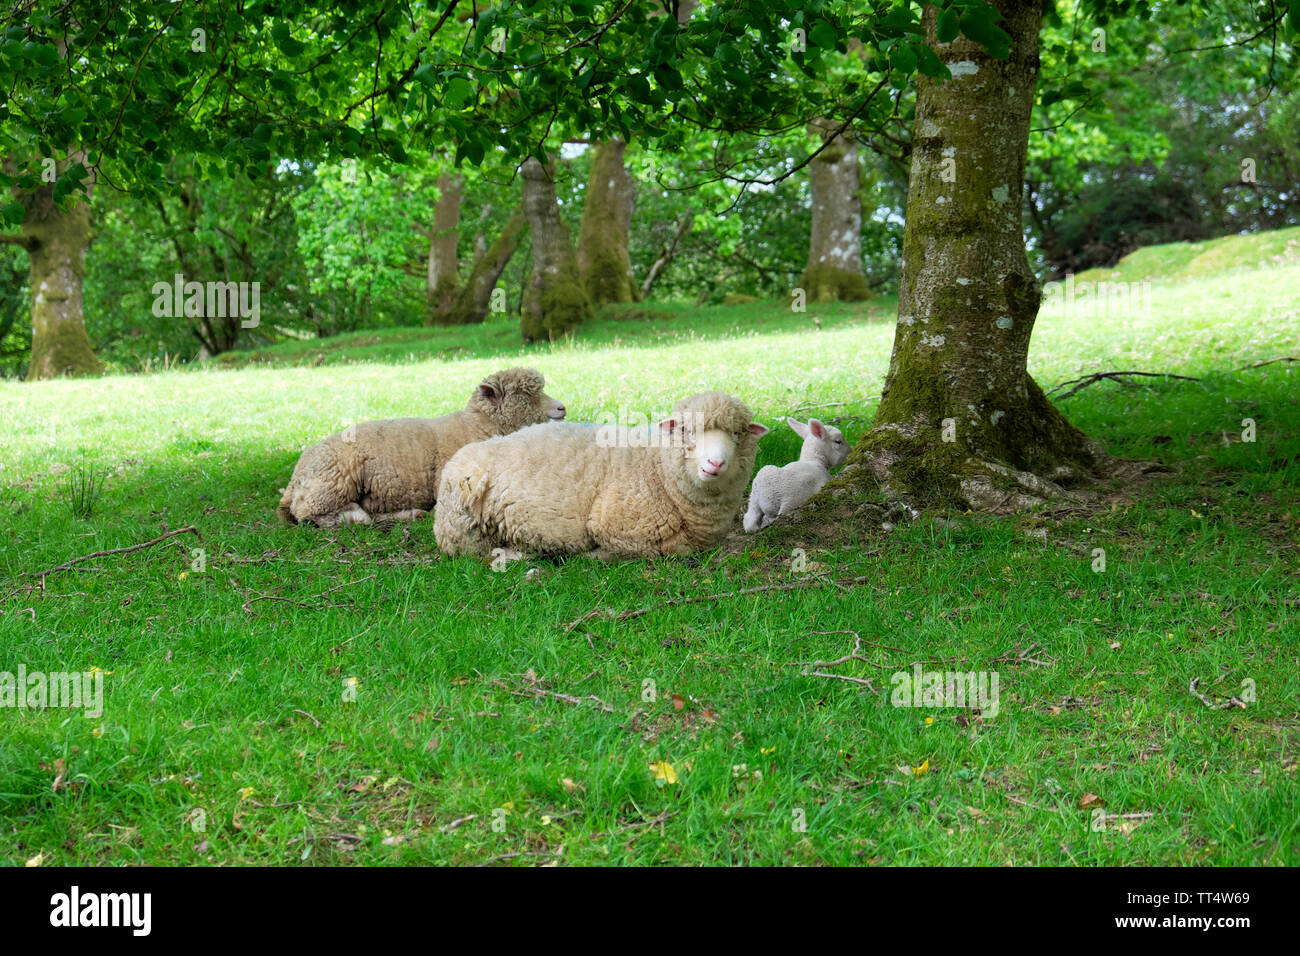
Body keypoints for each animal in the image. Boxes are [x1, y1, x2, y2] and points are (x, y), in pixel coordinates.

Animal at [279, 369, 564, 530]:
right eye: (526, 395)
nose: (562, 408)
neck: (474, 426)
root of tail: (294, 479)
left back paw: (408, 514)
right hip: (333, 480)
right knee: (309, 513)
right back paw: (355, 517)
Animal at [431, 392, 764, 564]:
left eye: (737, 434)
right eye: (688, 430)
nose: (715, 463)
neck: (655, 467)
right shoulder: (617, 528)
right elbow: (664, 549)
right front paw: (593, 555)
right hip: (462, 528)